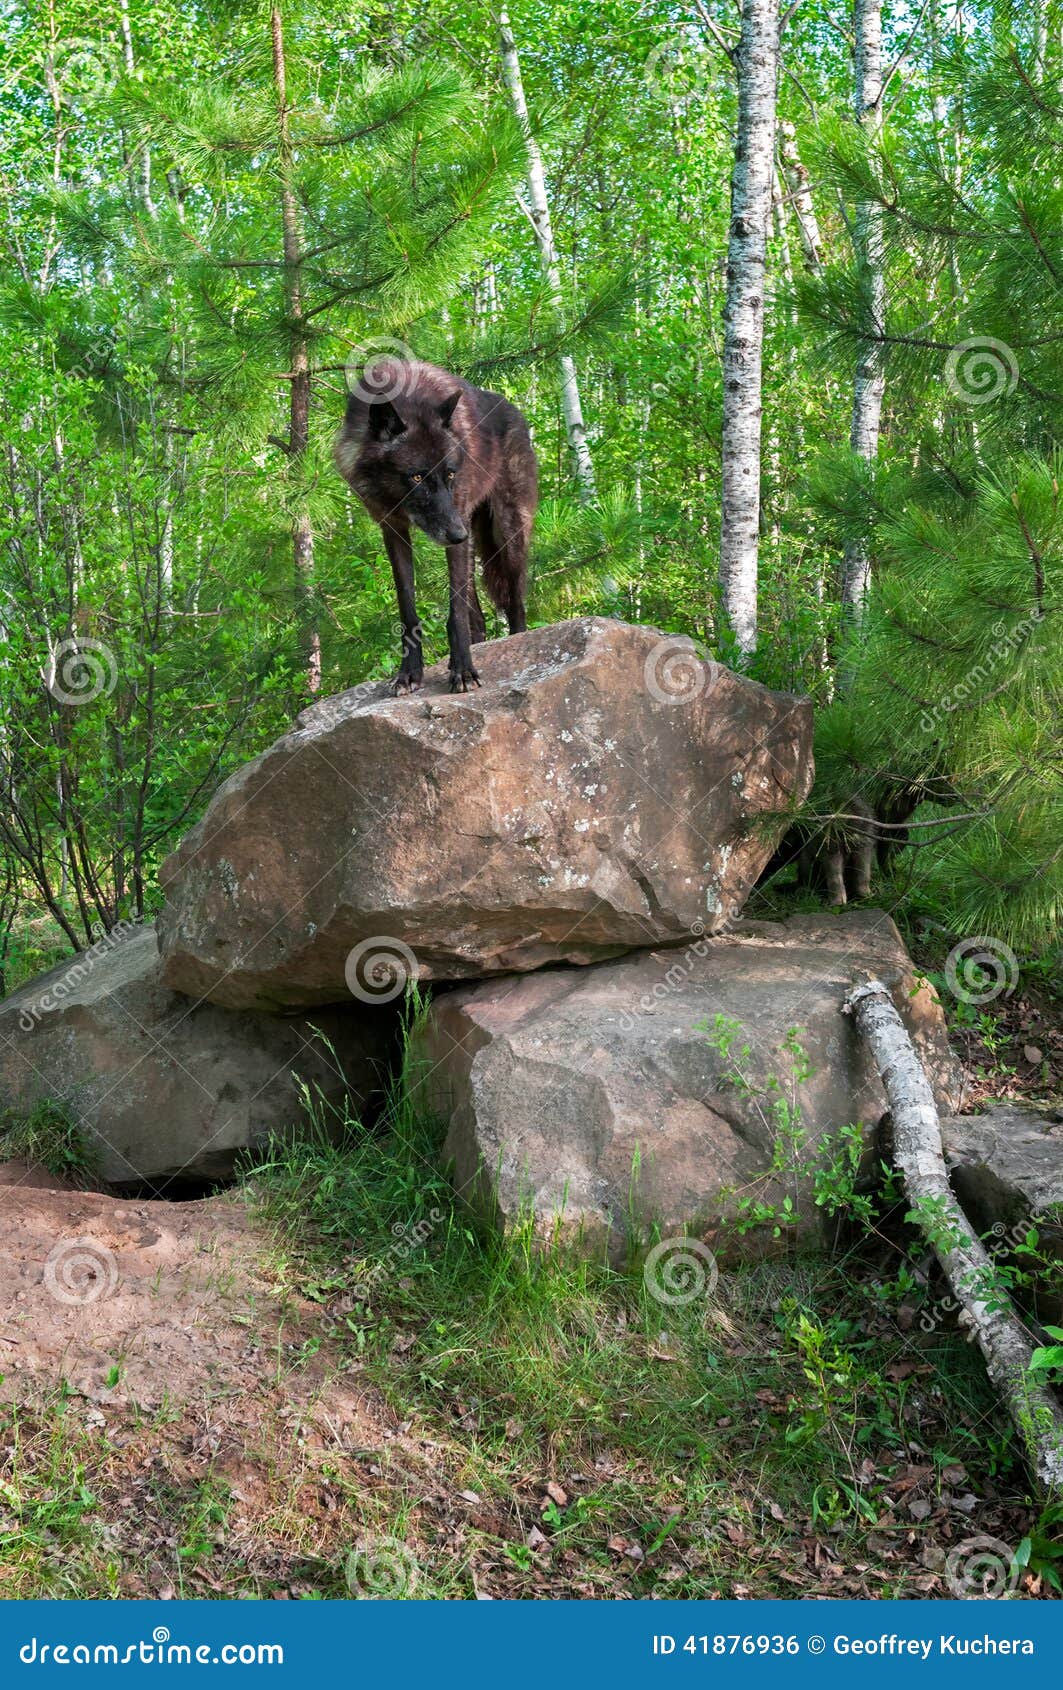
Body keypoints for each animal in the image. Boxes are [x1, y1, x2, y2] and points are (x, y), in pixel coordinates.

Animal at [334, 357, 538, 694]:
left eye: (451, 474)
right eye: (417, 476)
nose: (458, 534)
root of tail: (515, 411)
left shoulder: (458, 520)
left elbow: (455, 612)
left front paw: (464, 671)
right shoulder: (393, 529)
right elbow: (408, 609)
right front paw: (409, 673)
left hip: (506, 535)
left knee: (515, 603)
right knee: (478, 618)